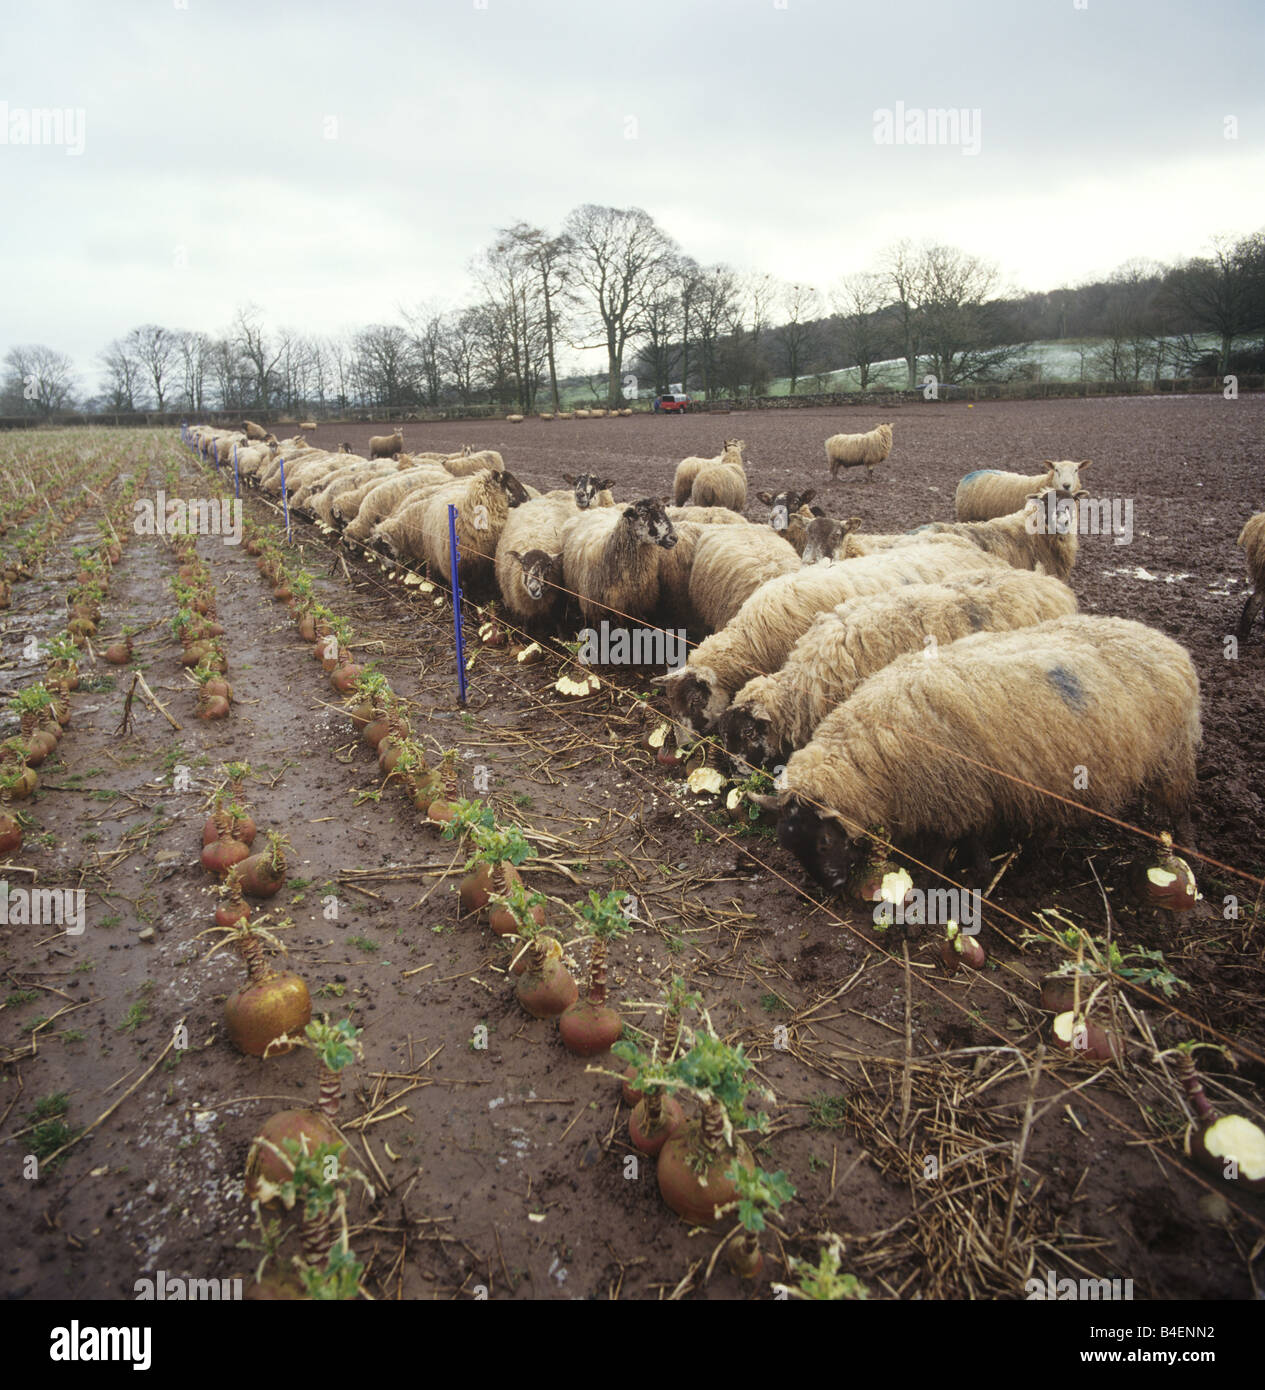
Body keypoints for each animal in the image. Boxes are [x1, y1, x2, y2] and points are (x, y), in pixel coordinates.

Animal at [770, 615, 1201, 894]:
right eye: (791, 846)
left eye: (823, 842)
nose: (834, 888)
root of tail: (1170, 644)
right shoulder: (974, 789)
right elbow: (974, 835)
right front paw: (979, 868)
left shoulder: (951, 794)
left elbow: (943, 846)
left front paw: (940, 878)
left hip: (1173, 756)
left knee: (1181, 809)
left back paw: (1187, 853)